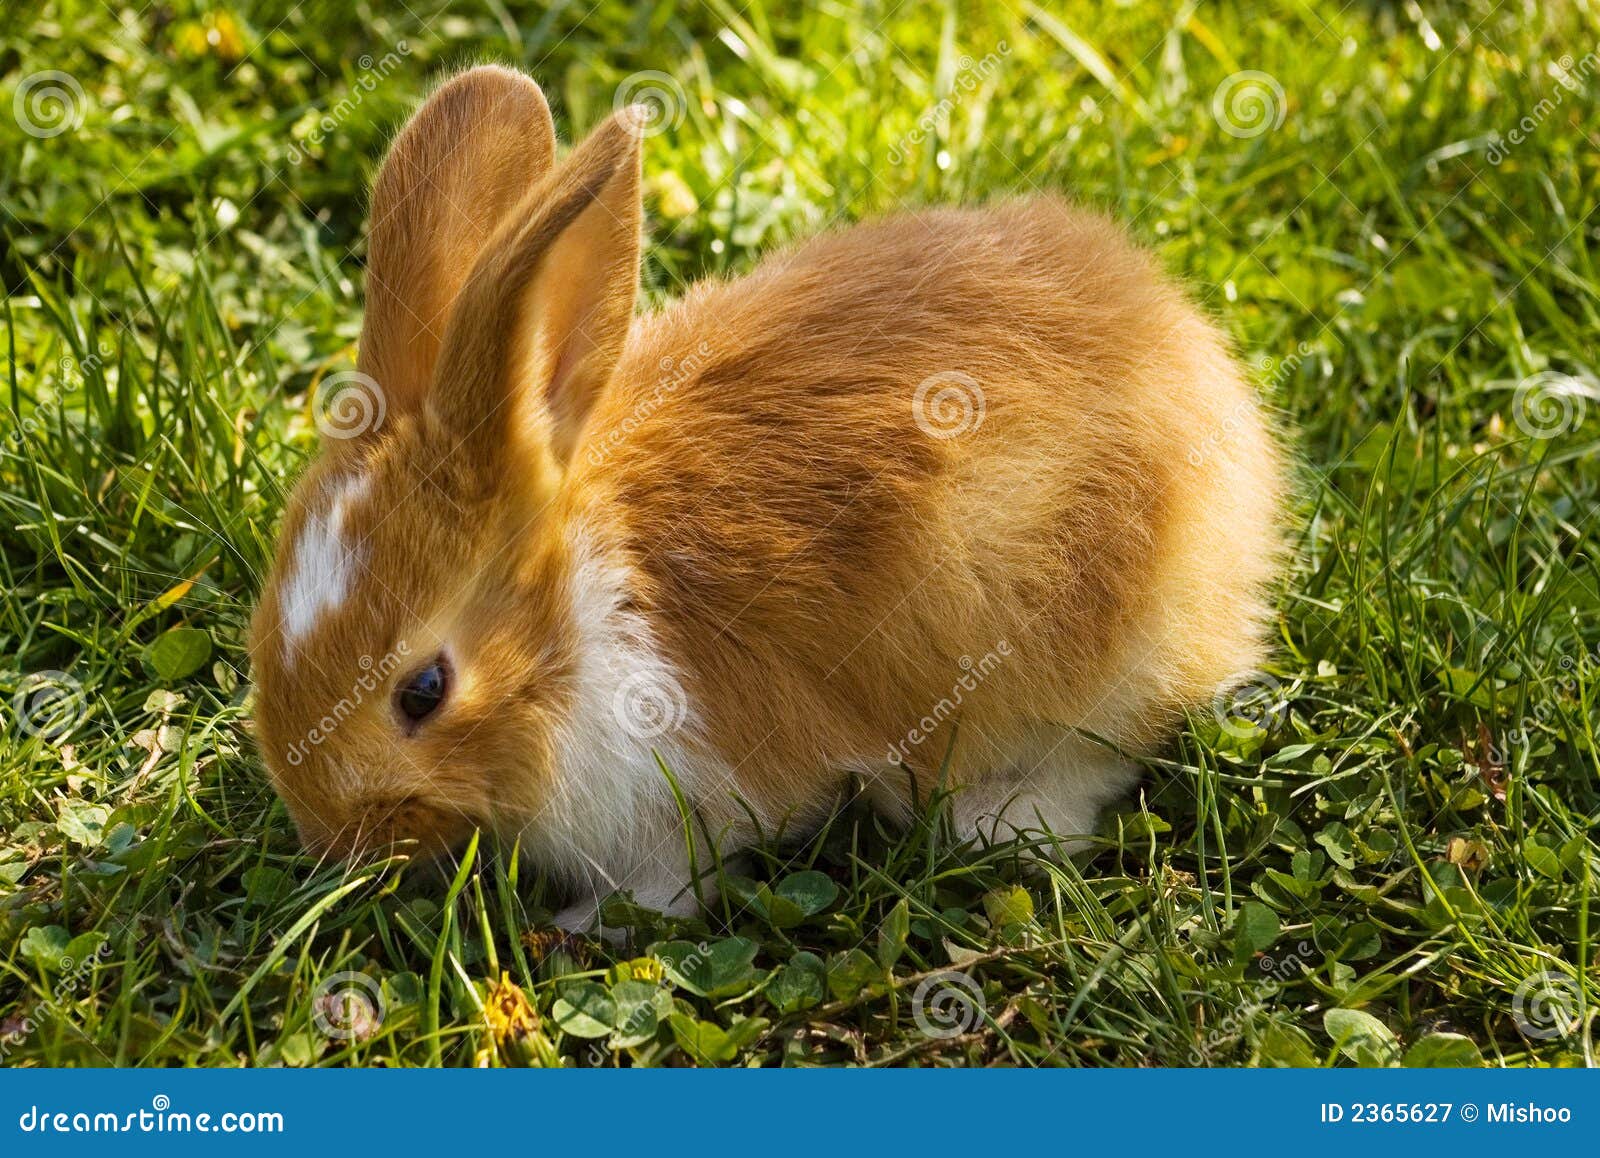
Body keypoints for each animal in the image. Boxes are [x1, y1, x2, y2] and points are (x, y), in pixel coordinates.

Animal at [249, 64, 1283, 933]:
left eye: (423, 692)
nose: (330, 839)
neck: (579, 618)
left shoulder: (681, 797)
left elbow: (675, 882)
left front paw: (583, 928)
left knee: (1103, 749)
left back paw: (998, 820)